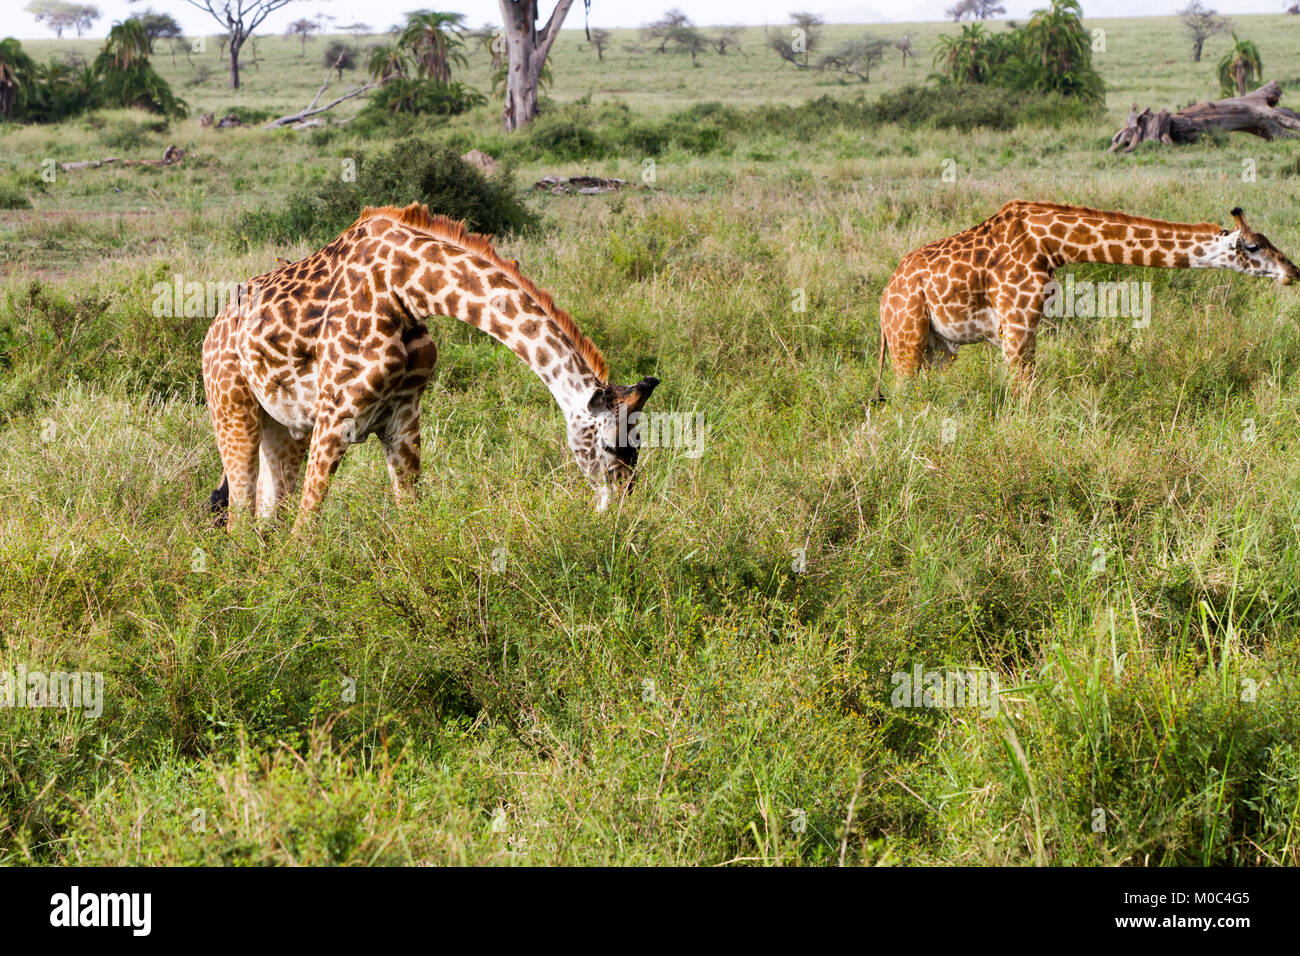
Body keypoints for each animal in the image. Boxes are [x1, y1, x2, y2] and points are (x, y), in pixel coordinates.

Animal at [202, 203, 660, 526]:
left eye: (638, 448)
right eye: (608, 445)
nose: (619, 512)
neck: (406, 287)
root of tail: (214, 327)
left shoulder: (402, 417)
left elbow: (411, 520)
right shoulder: (336, 415)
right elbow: (306, 529)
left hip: (285, 427)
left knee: (267, 515)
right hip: (233, 409)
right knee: (240, 518)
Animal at [876, 200, 1300, 393]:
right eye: (1253, 247)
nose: (1293, 271)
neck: (1050, 244)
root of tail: (884, 298)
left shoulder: (1028, 328)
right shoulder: (1015, 325)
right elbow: (1023, 394)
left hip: (938, 347)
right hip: (907, 338)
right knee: (902, 393)